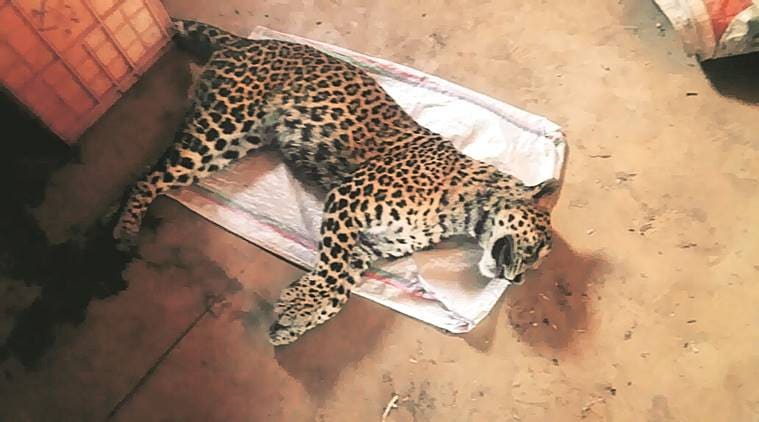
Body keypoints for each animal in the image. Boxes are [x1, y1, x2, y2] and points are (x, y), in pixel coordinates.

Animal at [112, 18, 559, 346]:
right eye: (536, 247)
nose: (518, 279)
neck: (465, 212)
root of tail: (244, 41)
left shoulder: (366, 246)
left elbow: (340, 287)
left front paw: (295, 316)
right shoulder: (349, 198)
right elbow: (331, 272)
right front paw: (298, 305)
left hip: (235, 143)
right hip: (218, 131)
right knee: (146, 176)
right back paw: (123, 232)